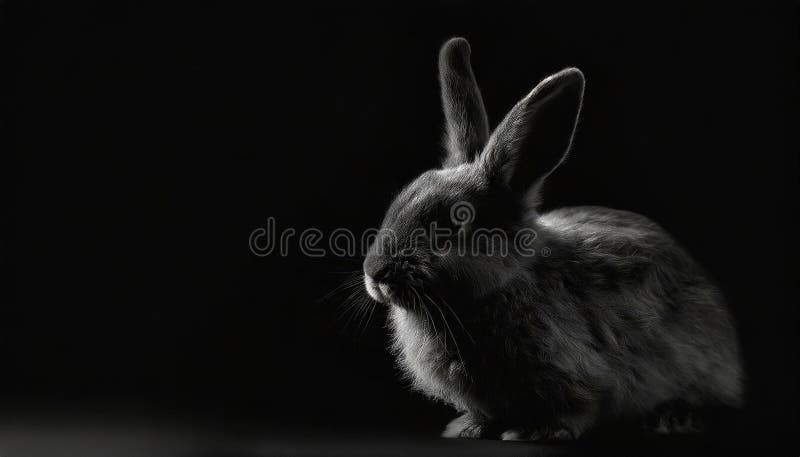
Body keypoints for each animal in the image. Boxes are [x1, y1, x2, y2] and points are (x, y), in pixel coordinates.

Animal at [361, 37, 744, 441]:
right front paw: (468, 428)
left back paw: (674, 418)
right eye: (401, 199)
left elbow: (576, 409)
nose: (375, 273)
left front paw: (533, 433)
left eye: (456, 219)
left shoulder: (584, 374)